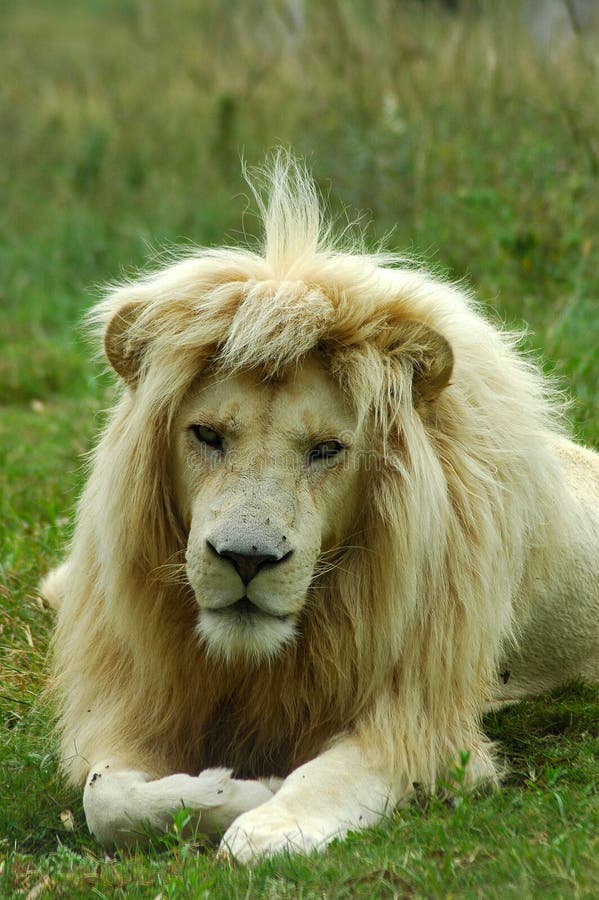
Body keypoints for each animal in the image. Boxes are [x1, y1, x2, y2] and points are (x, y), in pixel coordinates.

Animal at [43, 156, 599, 861]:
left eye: (326, 449)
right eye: (208, 435)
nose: (246, 560)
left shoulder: (419, 715)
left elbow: (315, 787)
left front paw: (269, 813)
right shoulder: (135, 693)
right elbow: (105, 797)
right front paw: (231, 790)